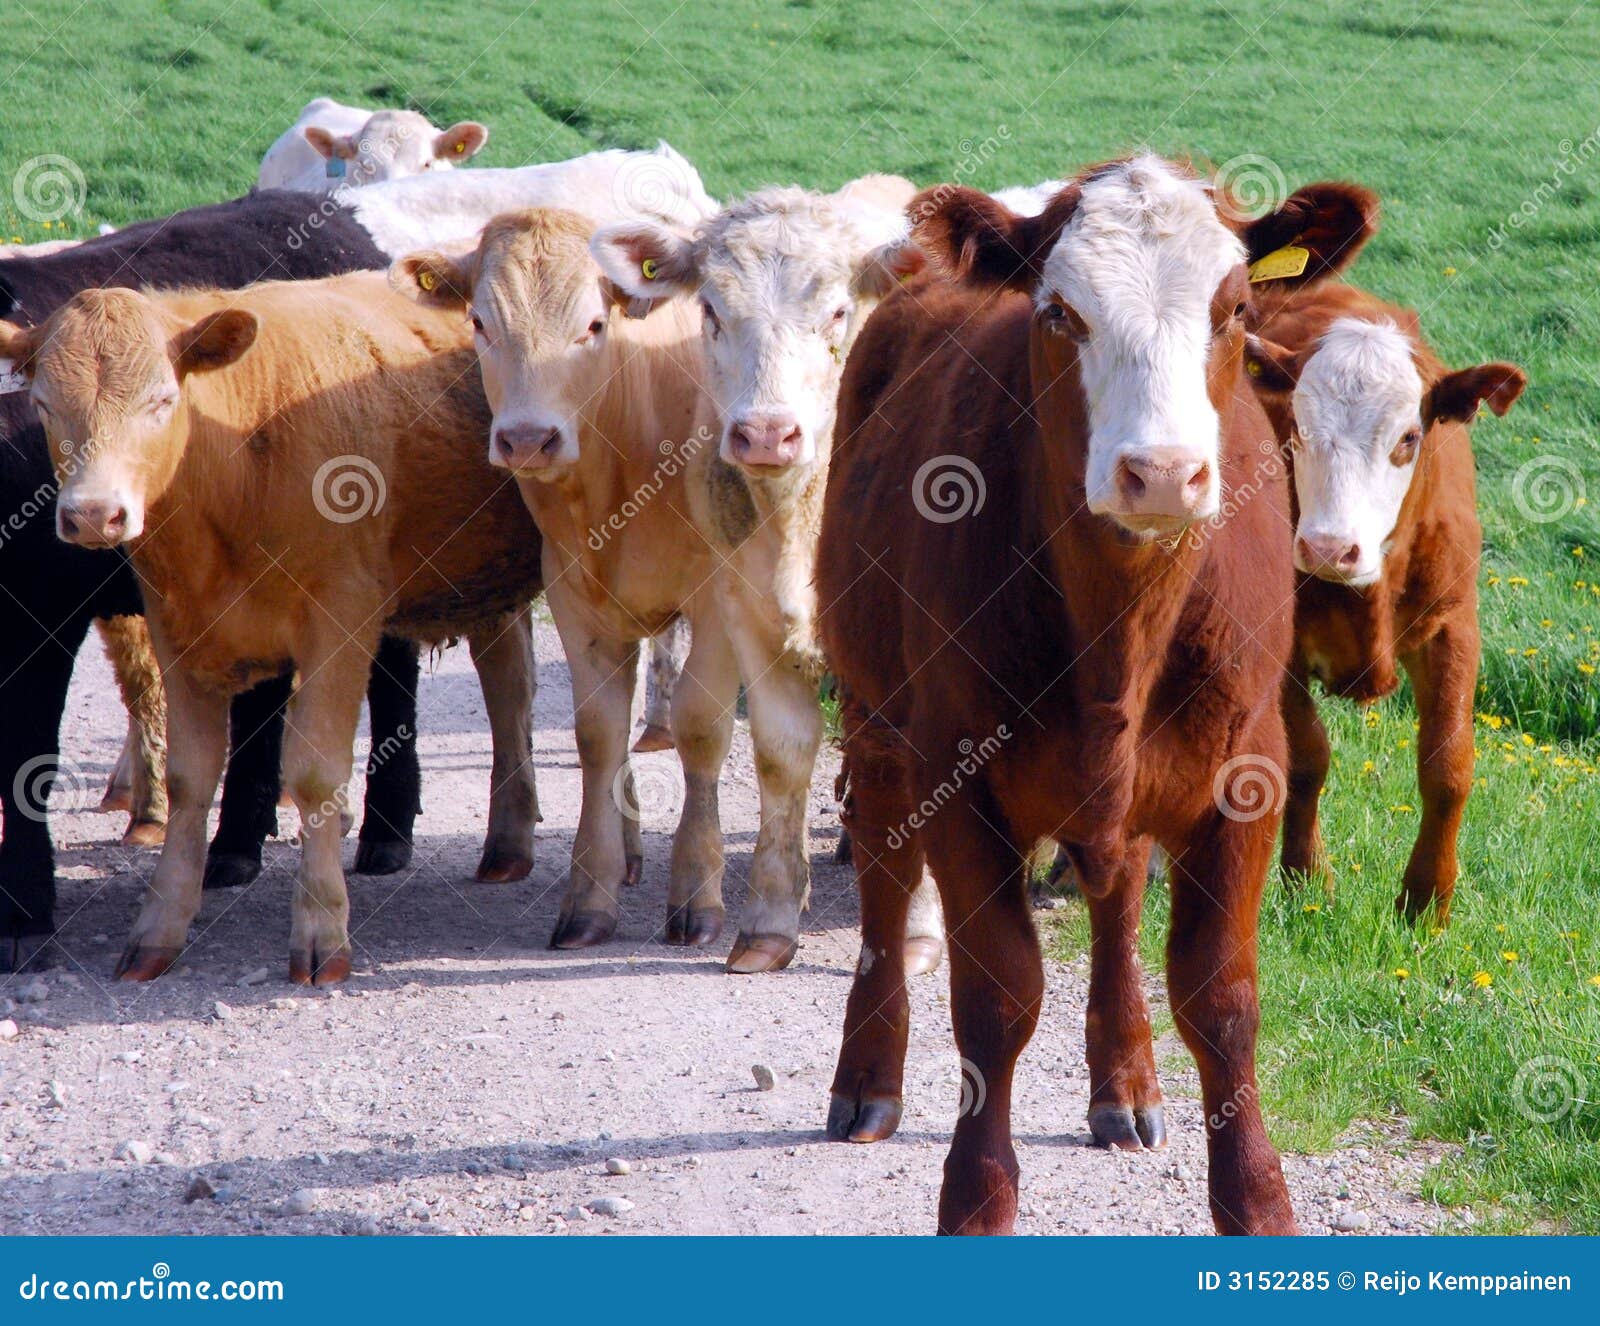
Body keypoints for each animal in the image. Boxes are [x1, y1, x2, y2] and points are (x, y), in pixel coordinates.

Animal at [0, 268, 553, 984]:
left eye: (161, 400)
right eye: (43, 405)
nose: (94, 514)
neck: (242, 457)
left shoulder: (340, 619)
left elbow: (315, 773)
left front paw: (321, 931)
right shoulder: (176, 626)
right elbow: (189, 779)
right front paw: (158, 929)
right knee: (509, 688)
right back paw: (508, 844)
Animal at [809, 157, 1383, 1236]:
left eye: (1234, 309)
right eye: (1058, 313)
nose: (1160, 472)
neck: (1123, 620)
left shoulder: (1249, 769)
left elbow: (1220, 998)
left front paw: (1256, 1200)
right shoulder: (958, 777)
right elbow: (996, 995)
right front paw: (976, 1199)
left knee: (1116, 896)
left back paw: (1125, 1082)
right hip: (872, 716)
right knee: (883, 874)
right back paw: (866, 1076)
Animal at [1245, 254, 1525, 924]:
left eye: (1408, 438)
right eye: (1295, 428)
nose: (1328, 547)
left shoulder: (1453, 626)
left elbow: (1447, 766)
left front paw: (1425, 901)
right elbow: (1306, 757)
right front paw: (1307, 878)